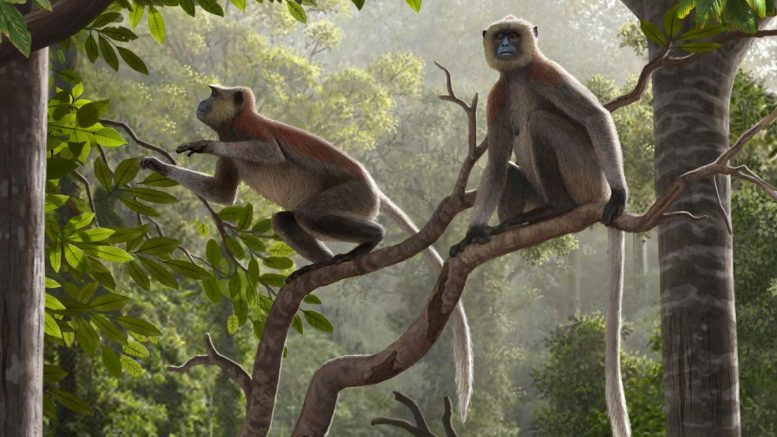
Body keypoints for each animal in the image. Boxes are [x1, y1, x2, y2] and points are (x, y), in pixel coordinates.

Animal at [139, 84, 474, 421]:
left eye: (213, 93)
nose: (203, 102)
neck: (233, 127)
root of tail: (374, 189)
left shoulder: (252, 129)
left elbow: (270, 153)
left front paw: (206, 145)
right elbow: (221, 194)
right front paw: (159, 165)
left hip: (354, 196)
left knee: (310, 215)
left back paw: (371, 239)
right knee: (286, 220)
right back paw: (321, 263)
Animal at [449, 16, 631, 437]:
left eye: (513, 37)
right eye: (500, 36)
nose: (505, 47)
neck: (517, 76)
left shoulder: (545, 73)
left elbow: (595, 117)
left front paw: (622, 193)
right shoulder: (498, 94)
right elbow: (497, 161)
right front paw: (472, 233)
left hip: (585, 175)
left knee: (540, 122)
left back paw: (559, 208)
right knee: (513, 170)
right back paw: (520, 218)